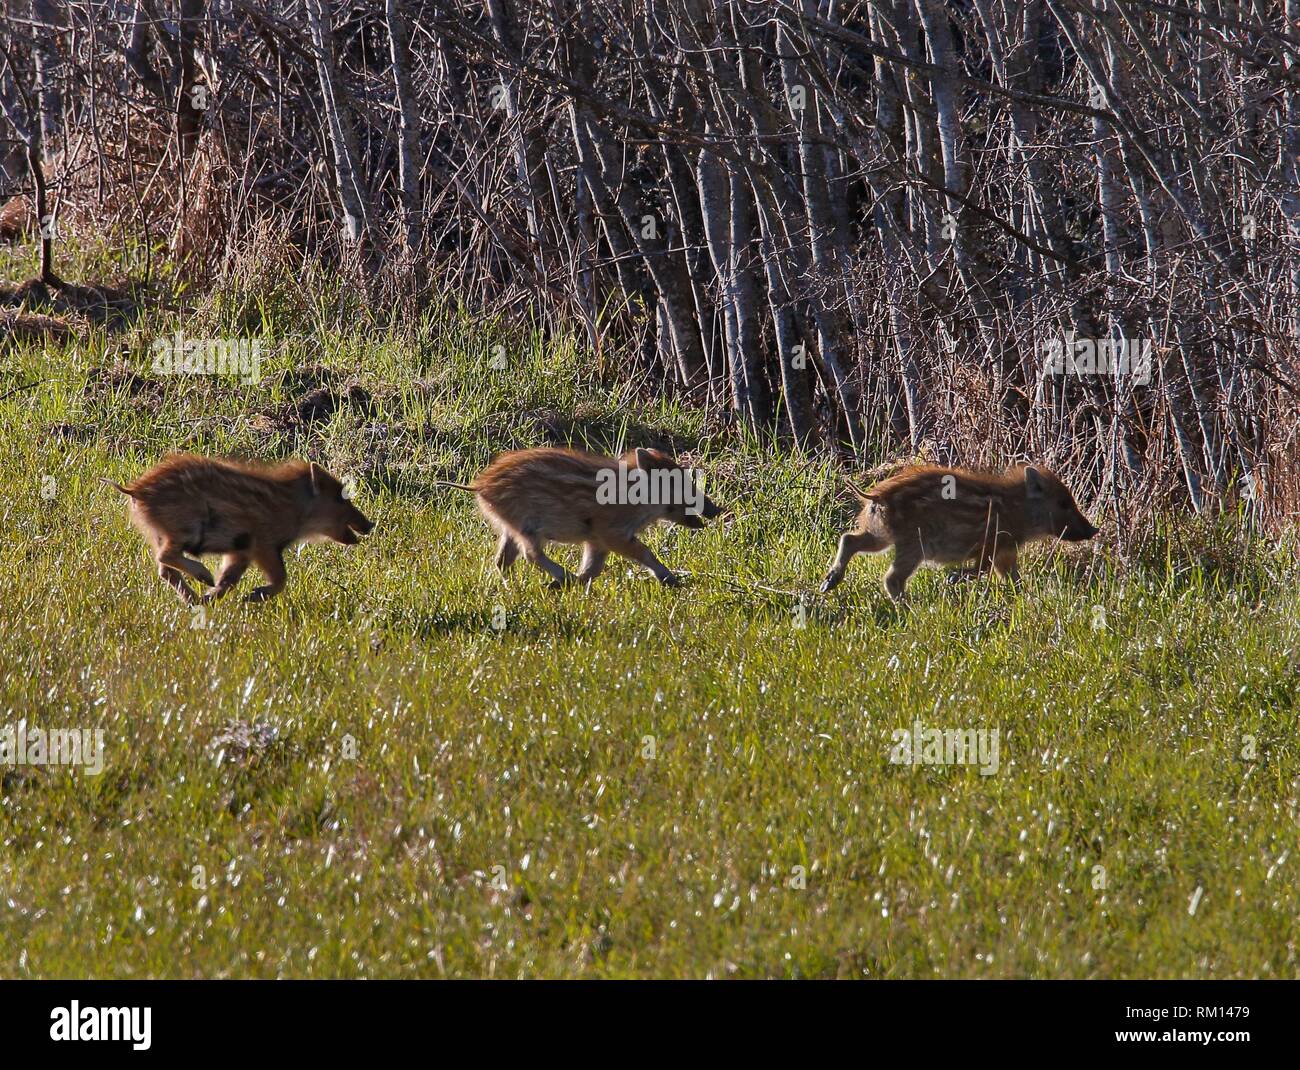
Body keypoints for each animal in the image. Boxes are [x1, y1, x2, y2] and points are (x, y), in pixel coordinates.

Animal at [110, 454, 374, 604]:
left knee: (165, 570)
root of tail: (136, 491)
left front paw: (212, 597)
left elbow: (229, 579)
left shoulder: (241, 550)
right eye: (340, 499)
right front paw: (251, 597)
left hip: (160, 533)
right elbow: (281, 578)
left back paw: (195, 599)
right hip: (184, 528)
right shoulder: (263, 544)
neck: (293, 507)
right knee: (166, 557)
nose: (370, 525)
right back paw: (204, 577)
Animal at [445, 446, 723, 588]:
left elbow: (593, 568)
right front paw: (672, 580)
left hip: (510, 526)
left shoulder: (596, 540)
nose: (715, 510)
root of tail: (479, 486)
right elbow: (643, 552)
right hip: (526, 525)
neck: (635, 496)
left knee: (503, 559)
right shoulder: (610, 532)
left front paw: (577, 583)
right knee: (530, 554)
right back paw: (561, 577)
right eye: (678, 483)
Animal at [820, 464, 1097, 599]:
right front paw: (952, 578)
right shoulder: (991, 544)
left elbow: (1012, 578)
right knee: (892, 578)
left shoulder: (1005, 552)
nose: (1093, 530)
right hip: (912, 545)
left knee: (849, 539)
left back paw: (828, 583)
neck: (1017, 510)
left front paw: (1025, 598)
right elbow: (982, 569)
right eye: (1063, 503)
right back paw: (909, 608)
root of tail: (878, 496)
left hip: (882, 535)